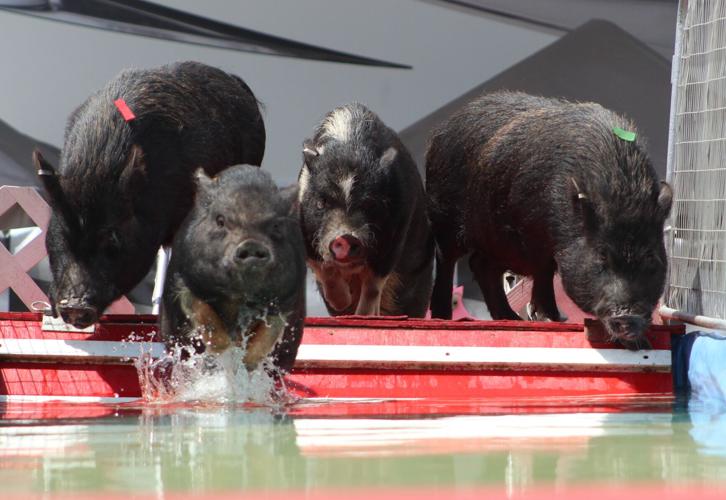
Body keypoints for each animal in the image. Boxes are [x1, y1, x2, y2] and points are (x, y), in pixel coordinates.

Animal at [161, 165, 305, 373]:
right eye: (220, 220)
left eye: (276, 225)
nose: (251, 244)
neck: (237, 298)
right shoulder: (182, 280)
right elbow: (202, 311)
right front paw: (226, 349)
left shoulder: (286, 298)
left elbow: (269, 331)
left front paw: (244, 360)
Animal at [298, 103, 434, 317]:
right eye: (321, 203)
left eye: (369, 204)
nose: (344, 237)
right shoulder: (305, 232)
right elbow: (325, 270)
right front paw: (342, 303)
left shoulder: (396, 230)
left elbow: (374, 283)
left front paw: (364, 315)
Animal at [426, 91, 672, 349]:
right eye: (601, 259)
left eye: (651, 259)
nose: (628, 317)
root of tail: (442, 129)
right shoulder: (532, 232)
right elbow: (544, 270)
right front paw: (551, 318)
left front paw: (641, 345)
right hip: (444, 214)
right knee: (446, 259)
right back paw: (442, 317)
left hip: (497, 243)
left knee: (480, 265)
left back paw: (510, 319)